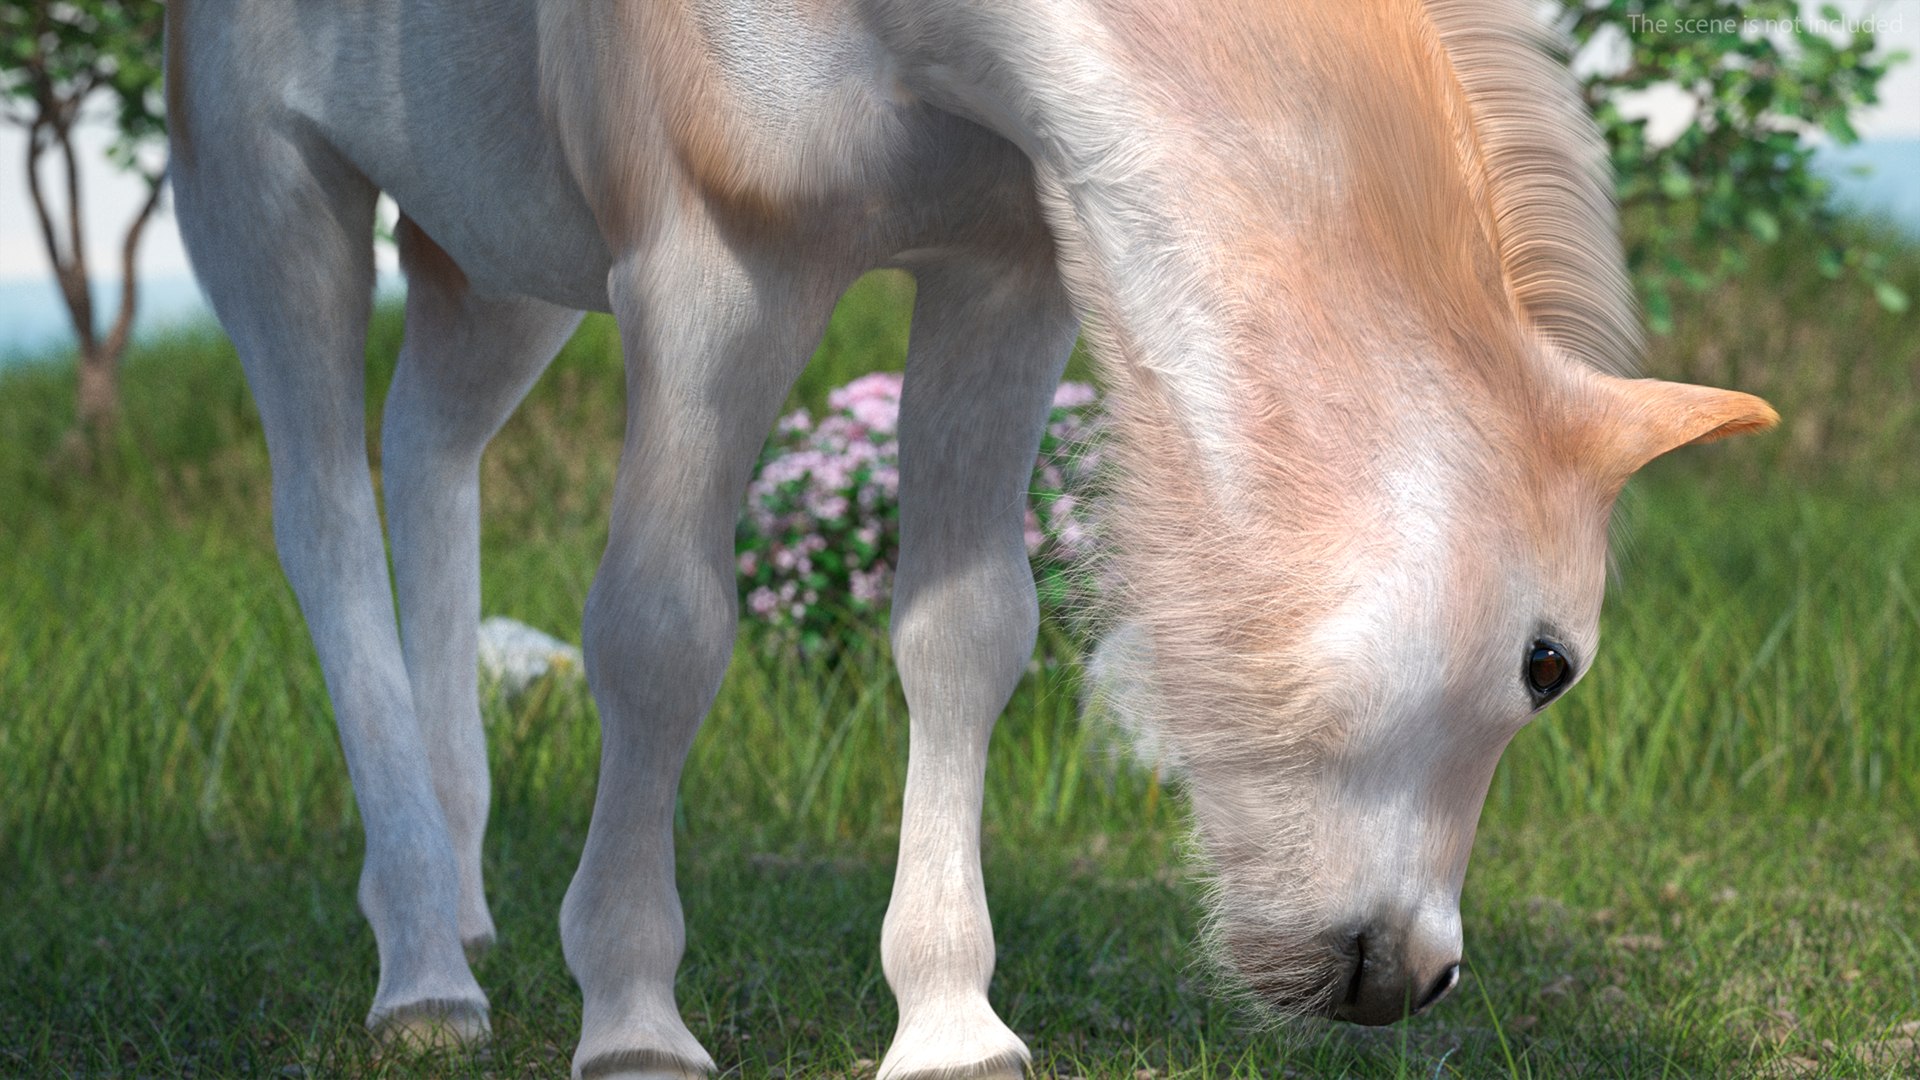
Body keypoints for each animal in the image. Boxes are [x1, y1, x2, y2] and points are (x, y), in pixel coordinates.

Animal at [164, 0, 1776, 1076]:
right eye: (1549, 664)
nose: (1416, 982)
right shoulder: (712, 270)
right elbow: (661, 636)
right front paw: (629, 1015)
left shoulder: (1005, 267)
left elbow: (966, 637)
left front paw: (949, 1024)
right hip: (268, 188)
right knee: (325, 516)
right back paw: (424, 971)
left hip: (492, 253)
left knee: (431, 458)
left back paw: (455, 900)